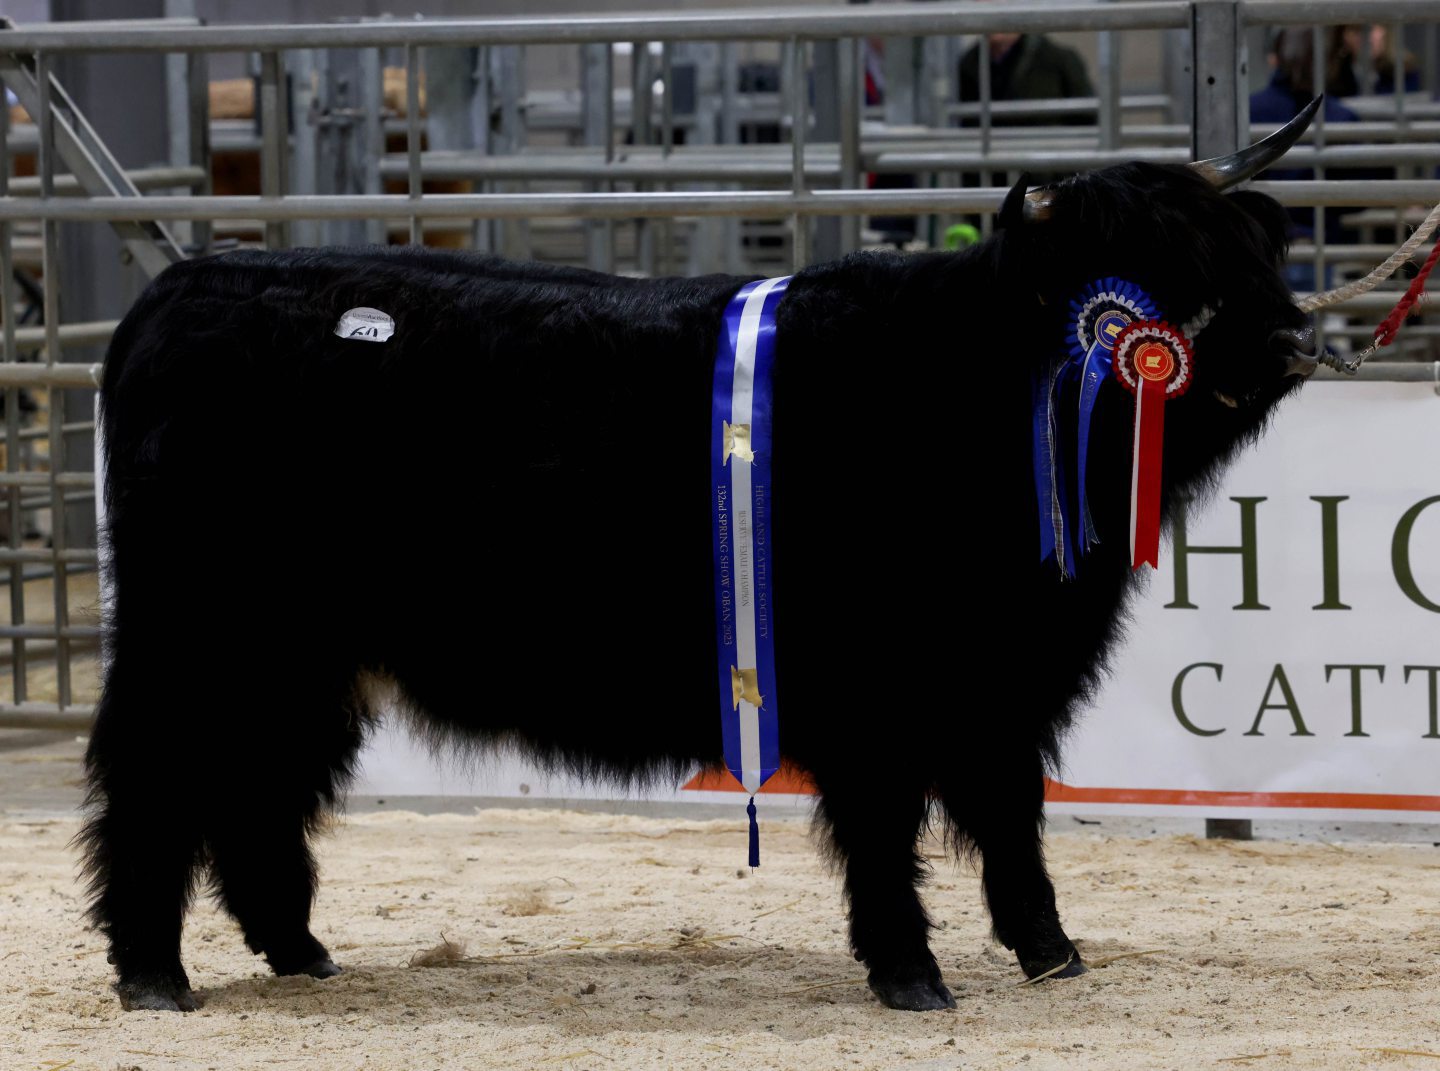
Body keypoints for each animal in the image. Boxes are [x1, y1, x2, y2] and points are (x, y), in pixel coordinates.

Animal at [79, 102, 1322, 1014]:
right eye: (1144, 261)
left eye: (1242, 246)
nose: (1296, 341)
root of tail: (180, 288)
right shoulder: (878, 685)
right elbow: (890, 827)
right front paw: (910, 973)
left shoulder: (994, 681)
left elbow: (1008, 815)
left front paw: (1050, 951)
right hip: (195, 633)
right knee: (154, 778)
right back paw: (153, 974)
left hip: (299, 656)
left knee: (254, 789)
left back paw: (297, 948)